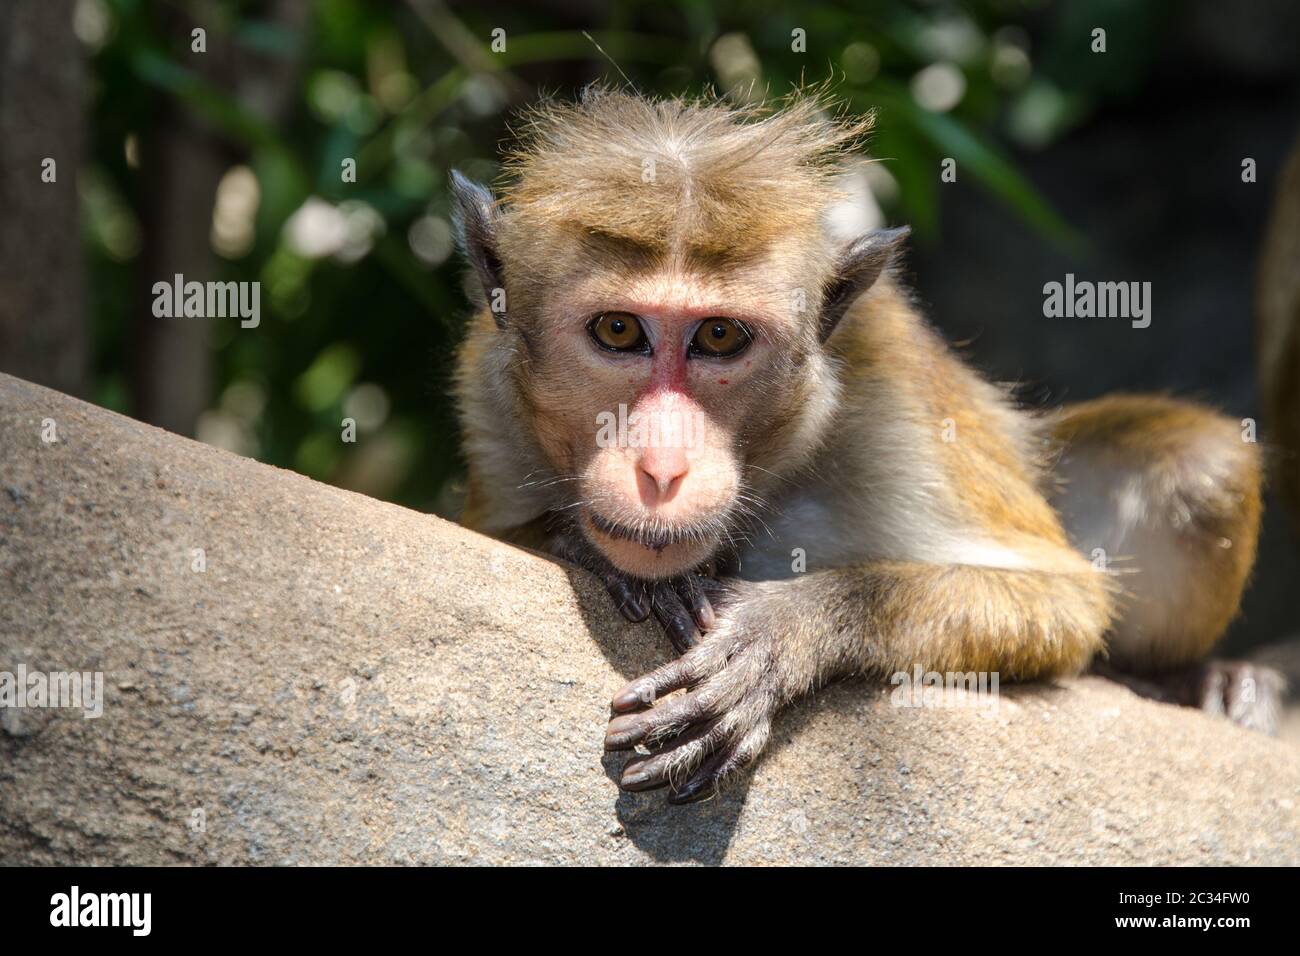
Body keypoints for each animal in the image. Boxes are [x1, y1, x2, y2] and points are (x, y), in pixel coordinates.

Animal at [450, 87, 1280, 804]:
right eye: (619, 331)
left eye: (719, 338)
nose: (663, 466)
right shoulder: (491, 409)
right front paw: (585, 549)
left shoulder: (893, 416)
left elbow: (1060, 599)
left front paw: (782, 630)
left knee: (1197, 467)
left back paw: (1194, 681)